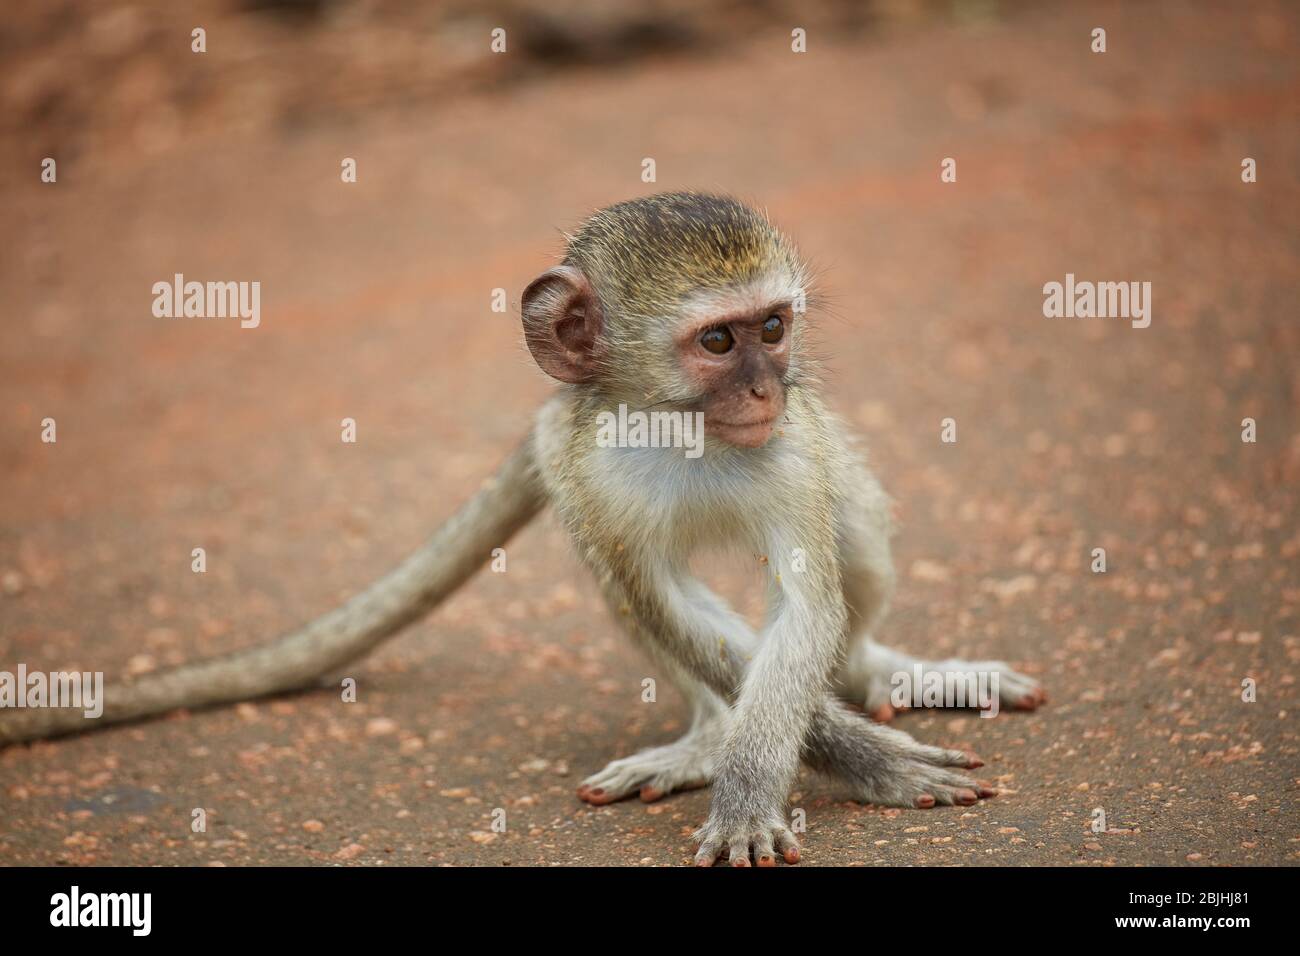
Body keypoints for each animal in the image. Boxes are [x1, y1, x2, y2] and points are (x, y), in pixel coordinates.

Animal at [0, 192, 1044, 866]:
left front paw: (777, 780)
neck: (681, 431)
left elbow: (801, 604)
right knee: (628, 583)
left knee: (848, 530)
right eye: (718, 341)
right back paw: (710, 737)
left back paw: (873, 673)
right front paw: (816, 765)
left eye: (774, 328)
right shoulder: (582, 464)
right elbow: (661, 597)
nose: (765, 392)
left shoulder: (789, 453)